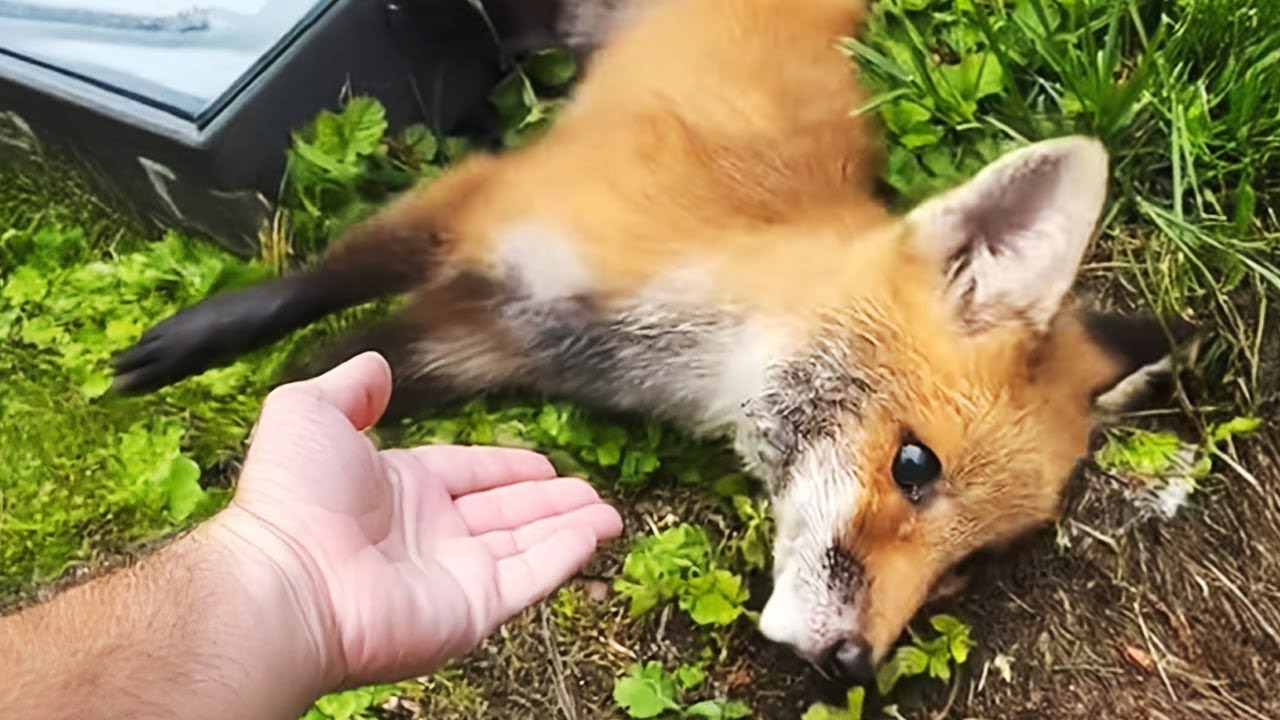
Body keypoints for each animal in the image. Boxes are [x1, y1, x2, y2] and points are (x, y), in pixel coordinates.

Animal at [111, 0, 1194, 687]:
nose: (851, 665)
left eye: (970, 566)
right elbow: (313, 285)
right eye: (914, 466)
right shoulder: (483, 203)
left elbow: (328, 372)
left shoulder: (477, 342)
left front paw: (265, 465)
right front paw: (187, 352)